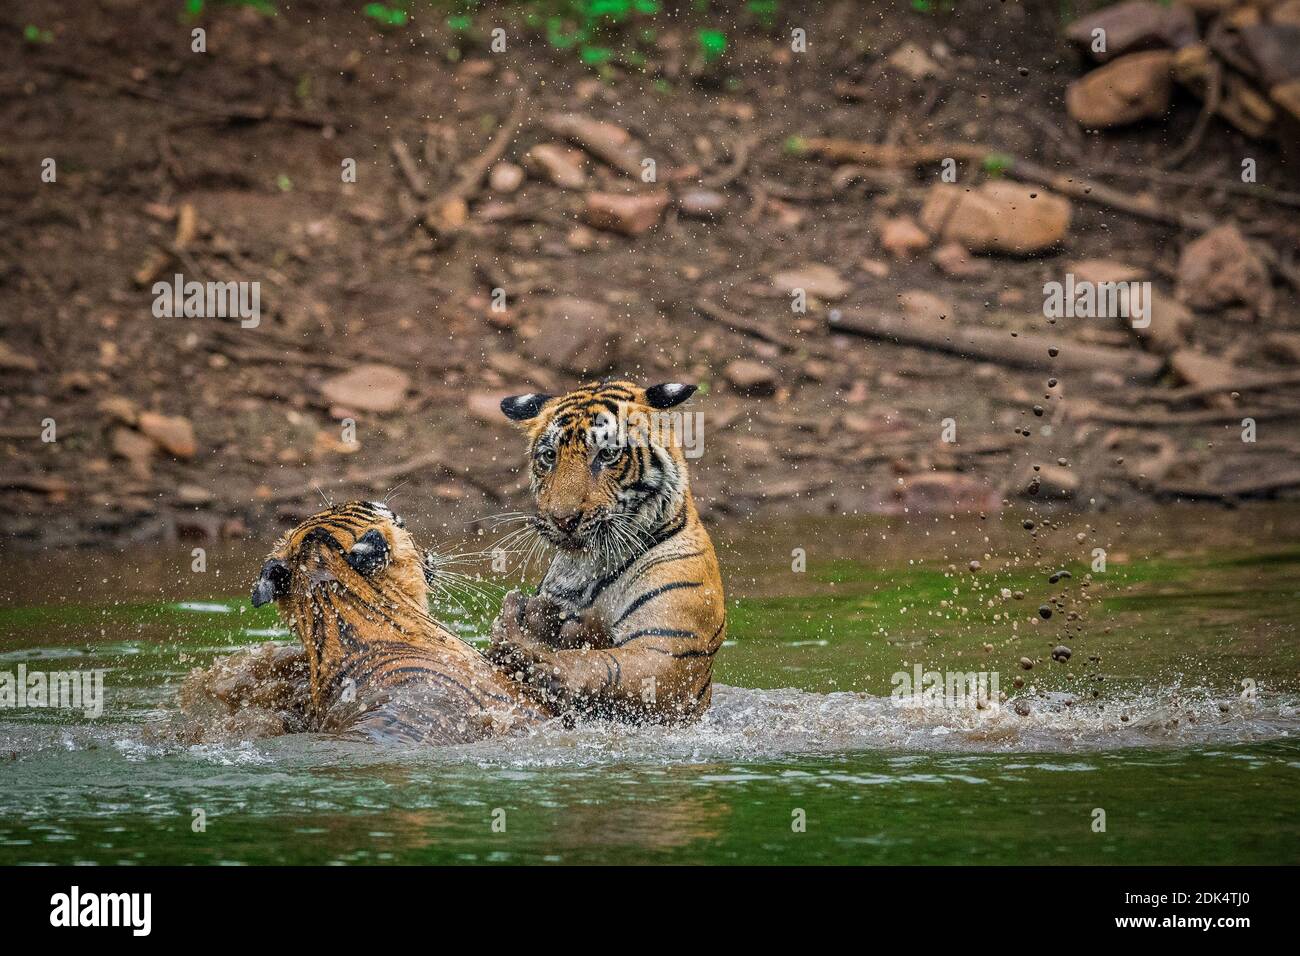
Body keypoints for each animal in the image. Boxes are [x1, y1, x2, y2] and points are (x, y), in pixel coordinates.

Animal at [487, 380, 727, 725]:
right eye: (549, 456)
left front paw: (526, 639)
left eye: (608, 454)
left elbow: (601, 663)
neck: (588, 564)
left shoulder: (666, 651)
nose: (563, 519)